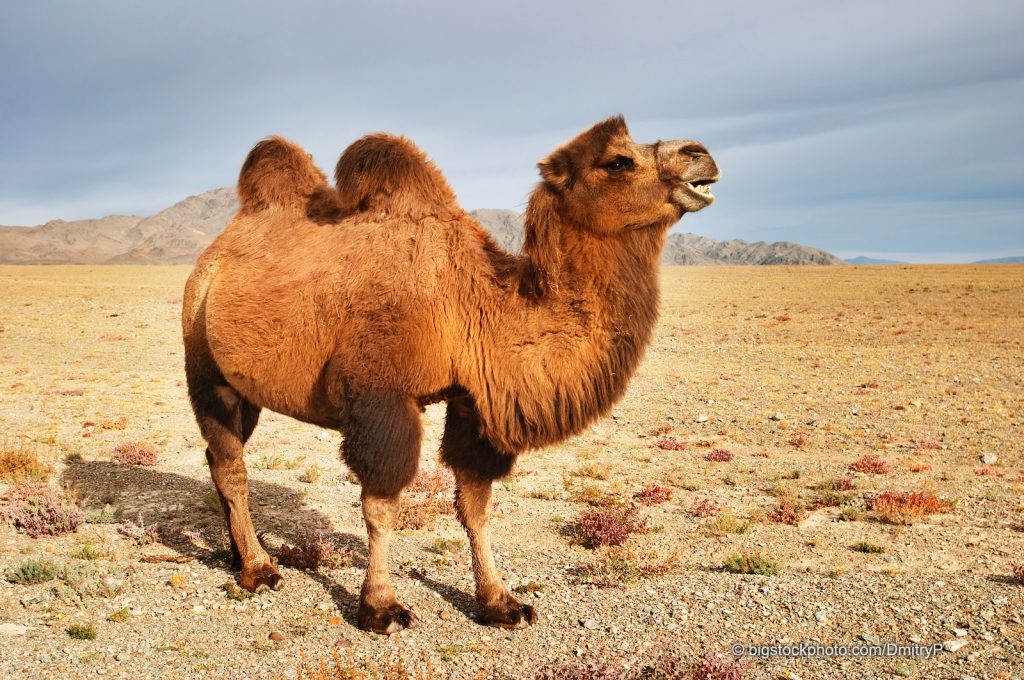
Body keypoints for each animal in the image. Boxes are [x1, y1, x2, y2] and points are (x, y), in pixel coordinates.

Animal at [182, 116, 719, 634]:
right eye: (618, 161)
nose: (700, 153)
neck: (474, 299)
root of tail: (216, 251)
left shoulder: (472, 400)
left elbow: (475, 503)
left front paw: (501, 602)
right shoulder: (380, 394)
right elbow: (381, 505)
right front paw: (381, 607)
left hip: (245, 387)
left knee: (220, 455)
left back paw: (235, 554)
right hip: (204, 363)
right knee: (231, 465)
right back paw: (258, 568)